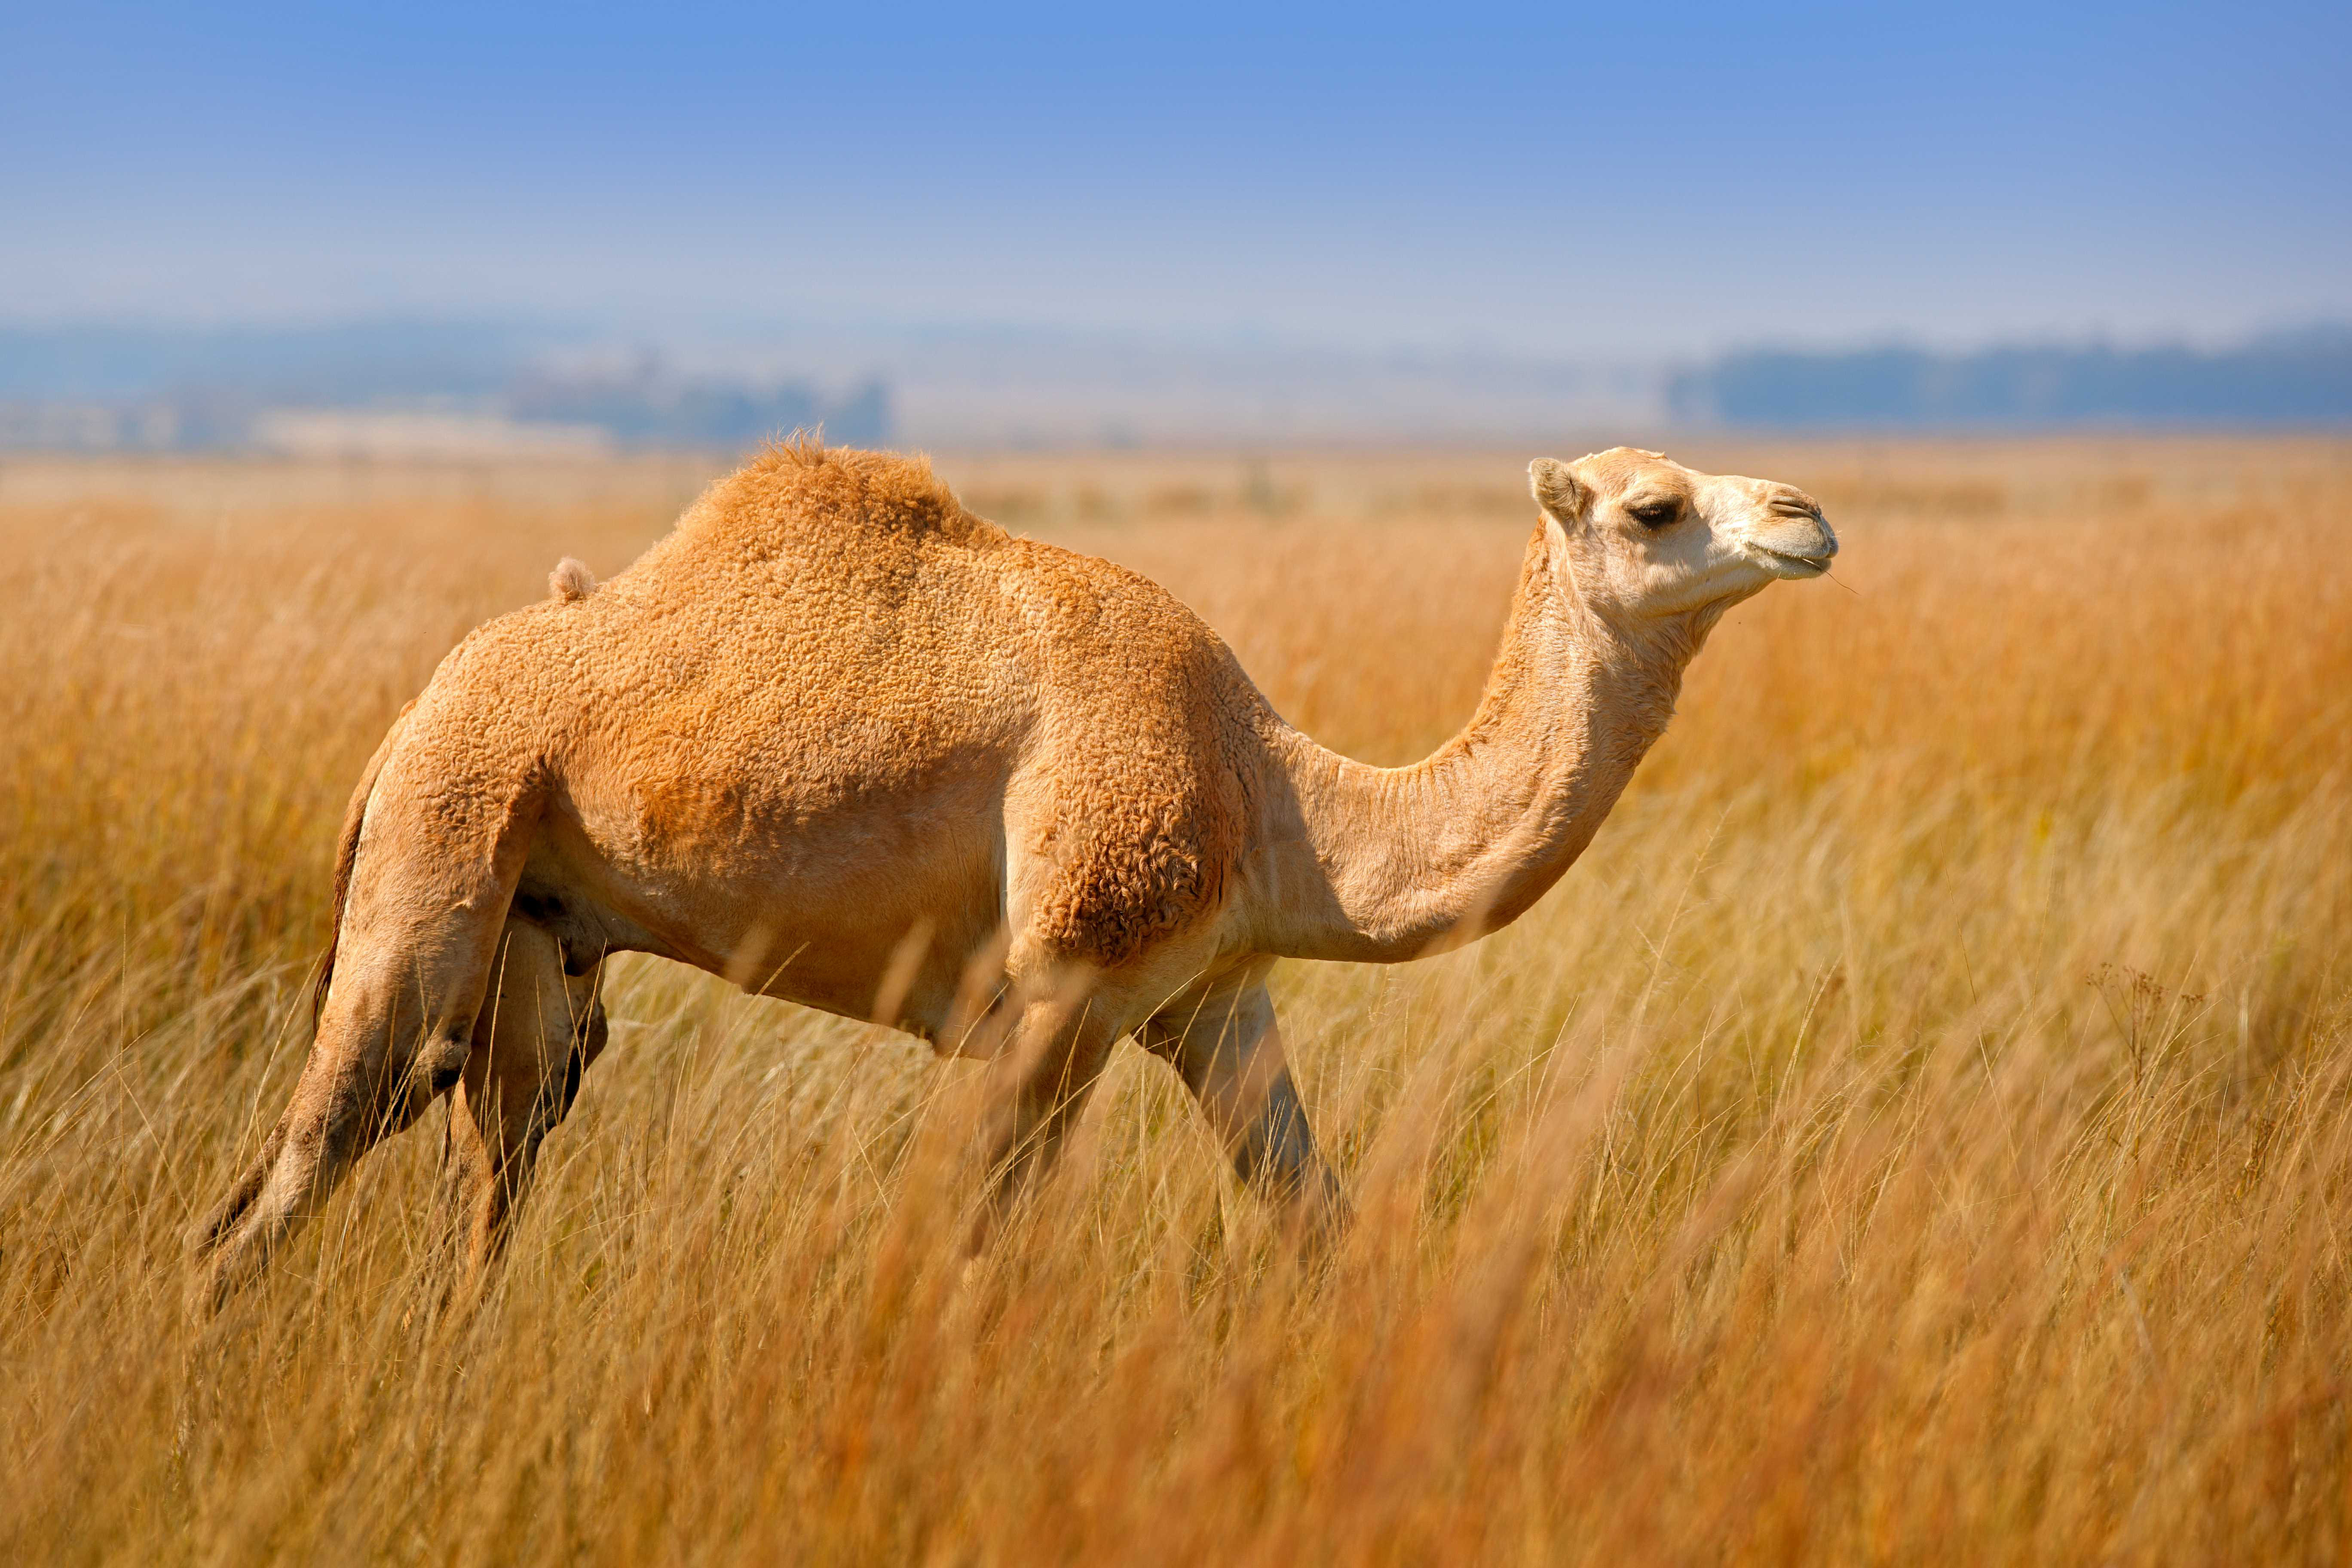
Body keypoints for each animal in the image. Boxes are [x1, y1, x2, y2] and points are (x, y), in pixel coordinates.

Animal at [191, 438, 1836, 1309]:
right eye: (1653, 506)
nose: (1808, 513)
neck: (1280, 798)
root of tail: (410, 716)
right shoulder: (1053, 990)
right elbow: (957, 1250)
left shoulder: (1211, 994)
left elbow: (1316, 1215)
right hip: (435, 859)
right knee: (284, 1176)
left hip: (537, 949)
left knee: (488, 1178)